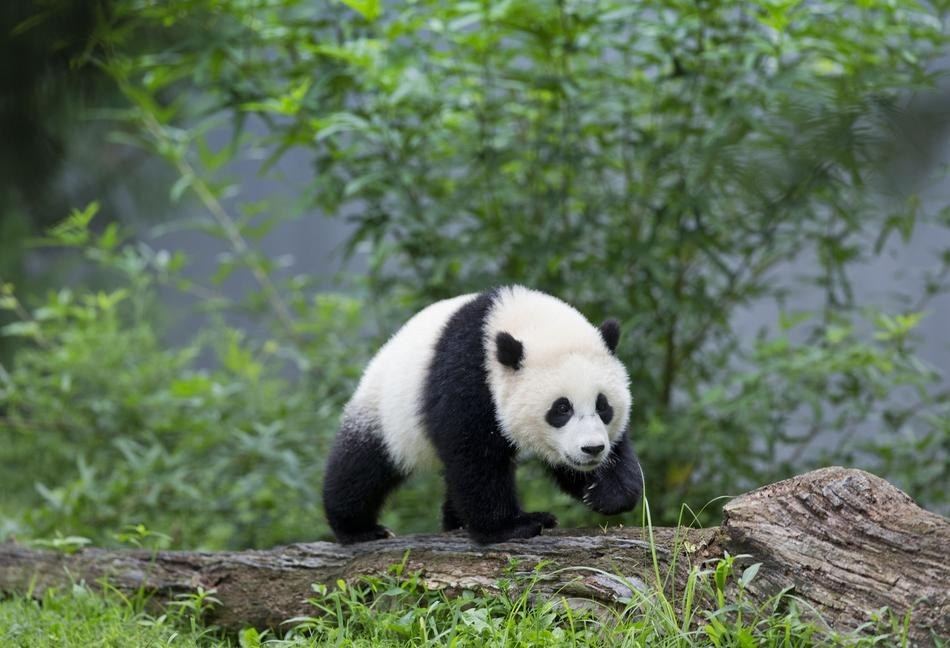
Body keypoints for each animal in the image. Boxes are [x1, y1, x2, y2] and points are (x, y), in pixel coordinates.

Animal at [322, 285, 643, 544]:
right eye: (562, 408)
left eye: (603, 406)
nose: (592, 449)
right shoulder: (469, 375)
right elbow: (474, 455)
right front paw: (513, 526)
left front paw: (606, 492)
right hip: (388, 410)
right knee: (363, 465)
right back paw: (358, 528)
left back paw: (454, 523)